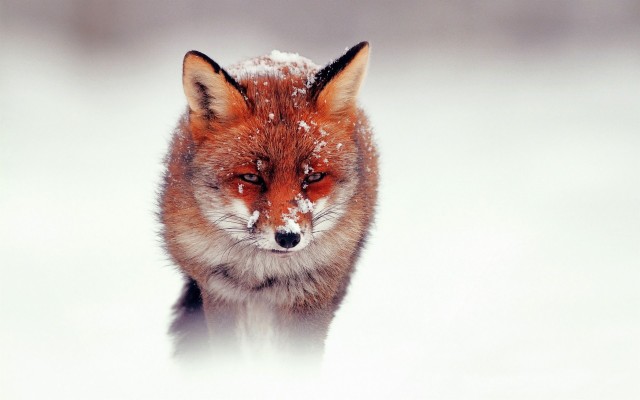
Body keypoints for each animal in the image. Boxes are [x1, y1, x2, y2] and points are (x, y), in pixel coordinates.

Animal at [159, 42, 378, 359]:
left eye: (314, 177)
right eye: (251, 177)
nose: (288, 237)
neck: (263, 273)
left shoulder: (311, 294)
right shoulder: (219, 291)